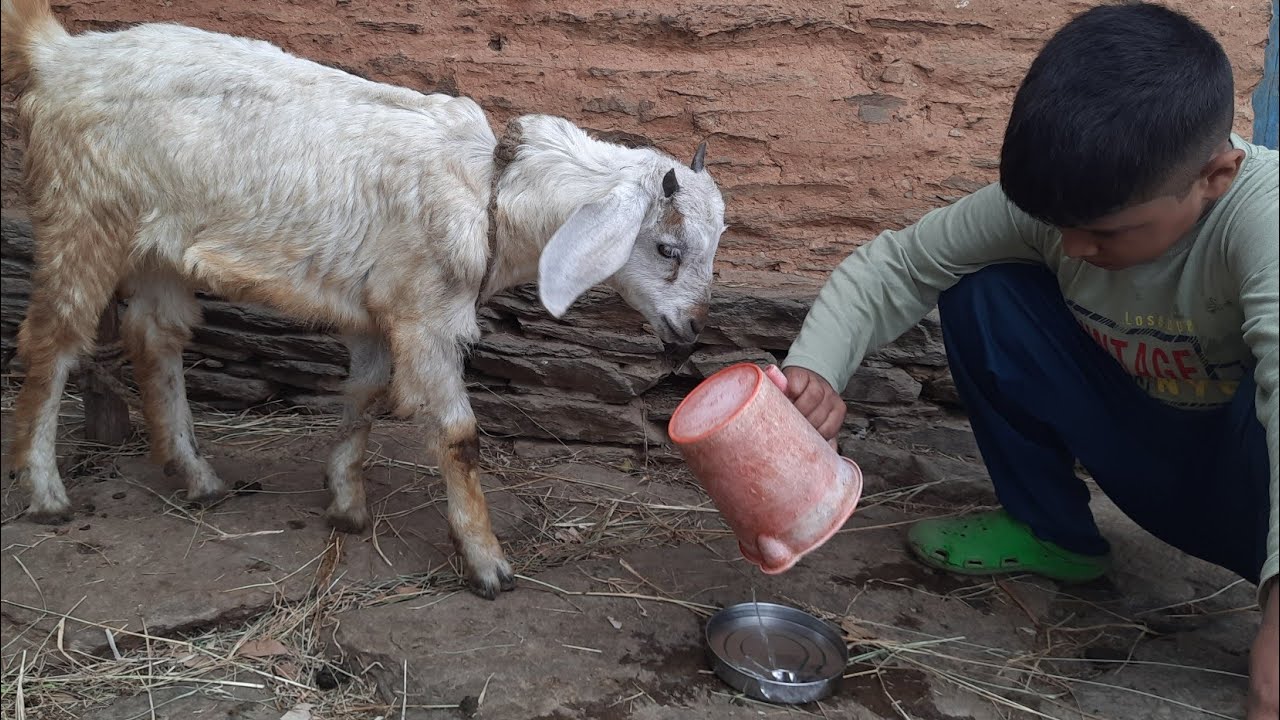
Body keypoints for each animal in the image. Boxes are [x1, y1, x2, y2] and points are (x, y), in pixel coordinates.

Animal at [1, 0, 726, 599]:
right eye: (667, 248)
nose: (691, 330)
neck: (488, 192)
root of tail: (59, 54)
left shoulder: (384, 310)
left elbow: (368, 396)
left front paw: (345, 501)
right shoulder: (425, 318)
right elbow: (458, 435)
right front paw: (486, 561)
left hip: (157, 242)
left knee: (155, 336)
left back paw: (196, 474)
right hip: (83, 215)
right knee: (53, 339)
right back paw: (45, 490)